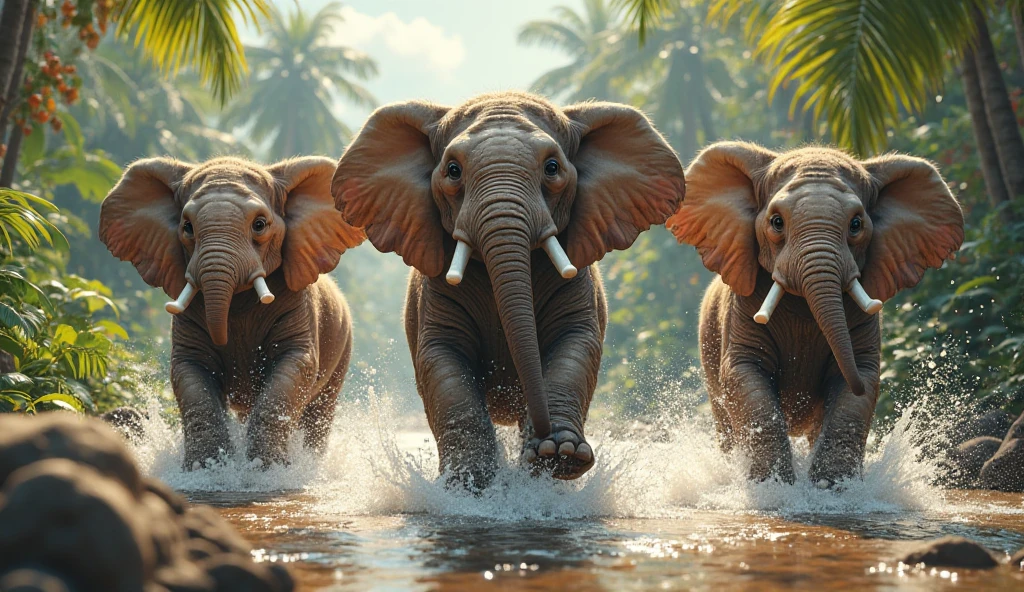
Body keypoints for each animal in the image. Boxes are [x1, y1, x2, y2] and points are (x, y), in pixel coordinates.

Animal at [99, 156, 364, 467]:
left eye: (259, 225)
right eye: (187, 227)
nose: (223, 338)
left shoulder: (298, 304)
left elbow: (295, 364)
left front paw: (267, 469)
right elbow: (190, 371)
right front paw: (205, 469)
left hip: (344, 349)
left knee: (320, 411)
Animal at [332, 92, 685, 486]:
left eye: (552, 168)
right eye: (452, 171)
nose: (544, 439)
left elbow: (574, 344)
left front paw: (560, 455)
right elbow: (442, 359)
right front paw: (468, 480)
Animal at [667, 142, 964, 485]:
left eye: (856, 225)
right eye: (776, 222)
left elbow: (858, 386)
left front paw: (832, 489)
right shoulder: (741, 307)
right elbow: (744, 373)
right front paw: (775, 488)